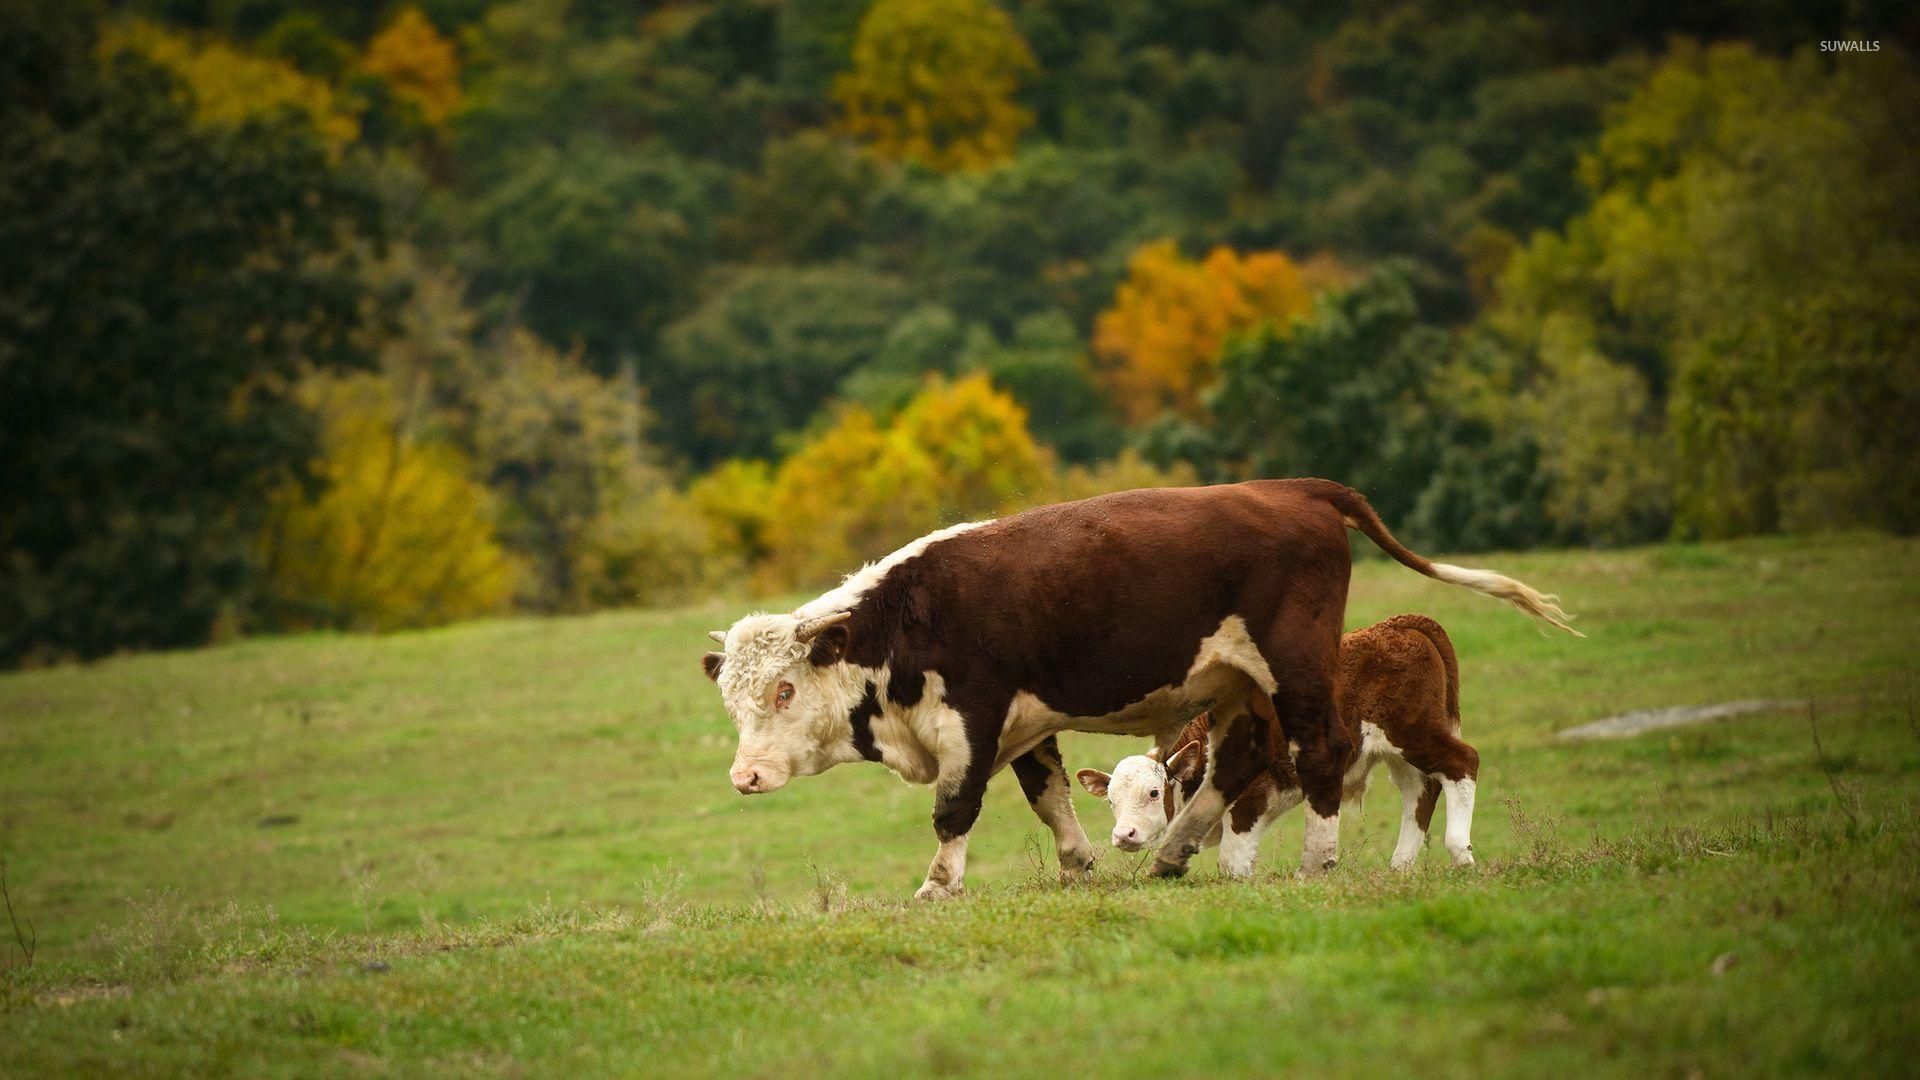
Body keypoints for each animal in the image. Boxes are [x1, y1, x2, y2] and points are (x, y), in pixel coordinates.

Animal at [1075, 614, 1479, 878]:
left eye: (1155, 792)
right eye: (1110, 800)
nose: (1123, 835)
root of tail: (1399, 625)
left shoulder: (1250, 800)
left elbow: (1231, 864)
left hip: (1414, 733)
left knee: (1463, 763)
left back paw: (1460, 852)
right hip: (1397, 751)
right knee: (1419, 793)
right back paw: (1400, 866)